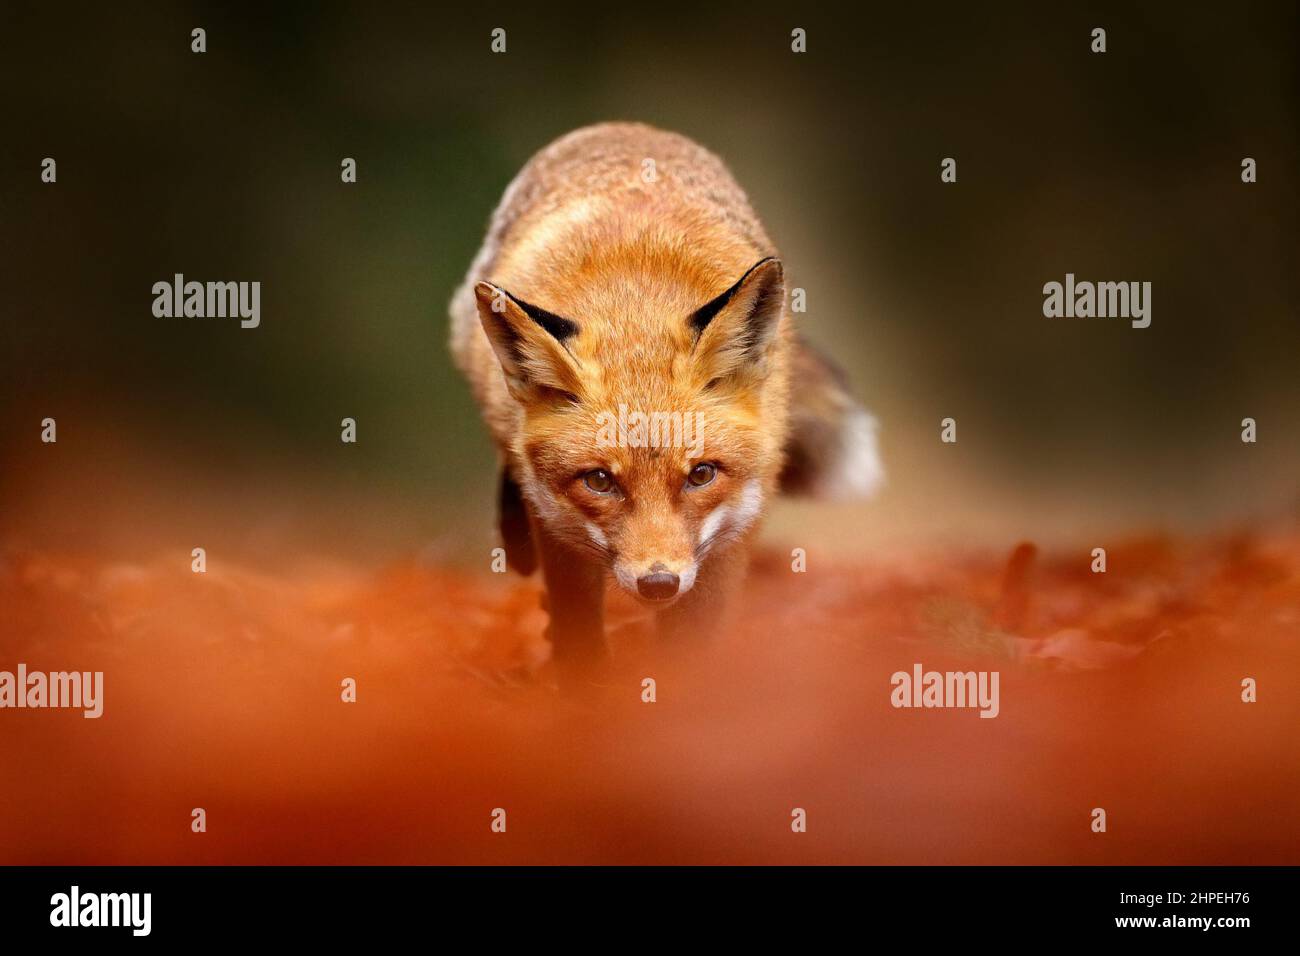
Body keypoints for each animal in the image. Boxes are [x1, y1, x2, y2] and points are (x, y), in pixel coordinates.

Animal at [450, 122, 882, 662]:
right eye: (599, 480)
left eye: (701, 474)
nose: (658, 583)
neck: (636, 305)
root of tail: (626, 127)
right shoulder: (559, 526)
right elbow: (577, 628)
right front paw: (582, 677)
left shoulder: (733, 529)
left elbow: (692, 642)